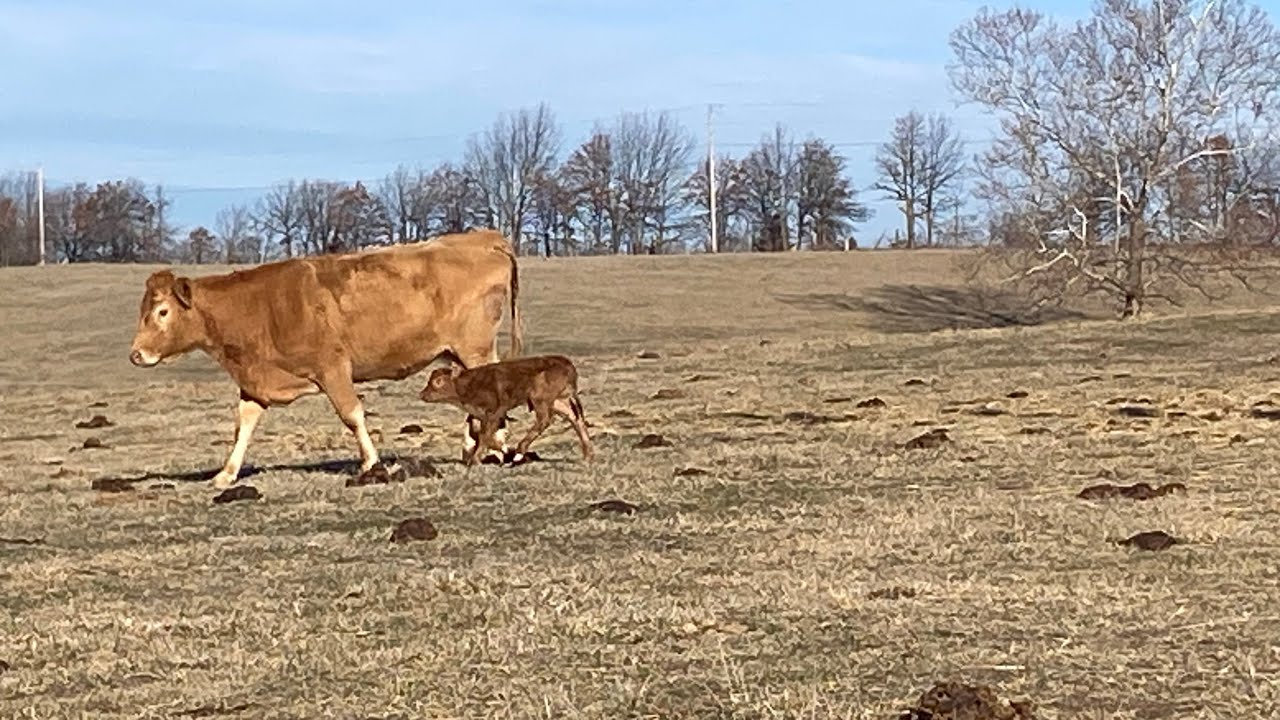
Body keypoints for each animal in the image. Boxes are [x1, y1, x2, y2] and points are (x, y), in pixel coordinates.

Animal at [128, 229, 523, 488]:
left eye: (162, 311)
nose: (136, 354)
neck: (260, 307)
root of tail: (484, 238)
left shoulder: (332, 368)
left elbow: (352, 415)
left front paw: (371, 464)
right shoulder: (255, 382)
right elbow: (245, 424)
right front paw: (226, 473)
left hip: (474, 349)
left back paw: (496, 448)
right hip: (457, 353)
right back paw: (474, 446)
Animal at [419, 355, 594, 466]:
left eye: (438, 381)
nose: (422, 394)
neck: (467, 385)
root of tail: (567, 364)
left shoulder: (493, 412)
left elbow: (484, 436)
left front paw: (476, 460)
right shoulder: (483, 415)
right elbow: (483, 435)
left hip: (539, 397)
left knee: (545, 419)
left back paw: (519, 452)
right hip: (557, 401)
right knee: (575, 419)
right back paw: (587, 455)